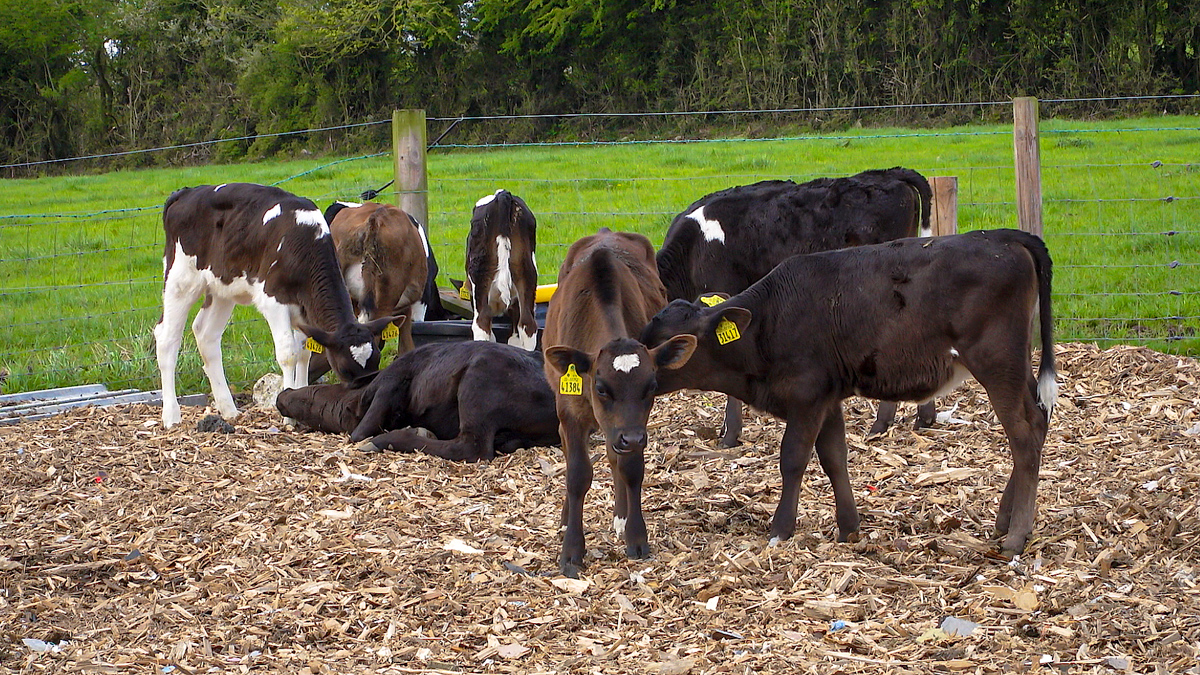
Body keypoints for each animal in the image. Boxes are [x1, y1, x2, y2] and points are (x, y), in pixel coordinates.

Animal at [154, 183, 398, 429]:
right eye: (345, 369)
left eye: (376, 360)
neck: (303, 241)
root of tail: (187, 192)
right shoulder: (273, 300)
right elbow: (288, 354)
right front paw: (288, 416)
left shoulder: (305, 310)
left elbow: (304, 354)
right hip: (181, 279)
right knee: (166, 337)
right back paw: (171, 416)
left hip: (222, 287)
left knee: (206, 334)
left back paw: (228, 410)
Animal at [276, 340, 561, 462]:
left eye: (316, 393)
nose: (282, 395)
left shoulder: (390, 382)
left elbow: (358, 433)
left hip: (479, 380)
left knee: (472, 448)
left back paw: (389, 439)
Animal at [542, 229, 697, 578]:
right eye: (601, 387)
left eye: (651, 386)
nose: (632, 438)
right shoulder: (569, 411)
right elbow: (577, 475)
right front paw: (572, 550)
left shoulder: (635, 425)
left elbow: (631, 468)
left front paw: (635, 535)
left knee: (615, 457)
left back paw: (620, 517)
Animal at [640, 229, 1057, 557]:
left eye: (669, 347)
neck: (768, 321)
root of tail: (1004, 237)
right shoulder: (827, 398)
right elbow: (834, 457)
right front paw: (848, 526)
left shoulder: (806, 396)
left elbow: (793, 458)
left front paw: (780, 530)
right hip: (1016, 365)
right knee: (1038, 420)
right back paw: (1006, 520)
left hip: (996, 360)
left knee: (1023, 435)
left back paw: (1016, 536)